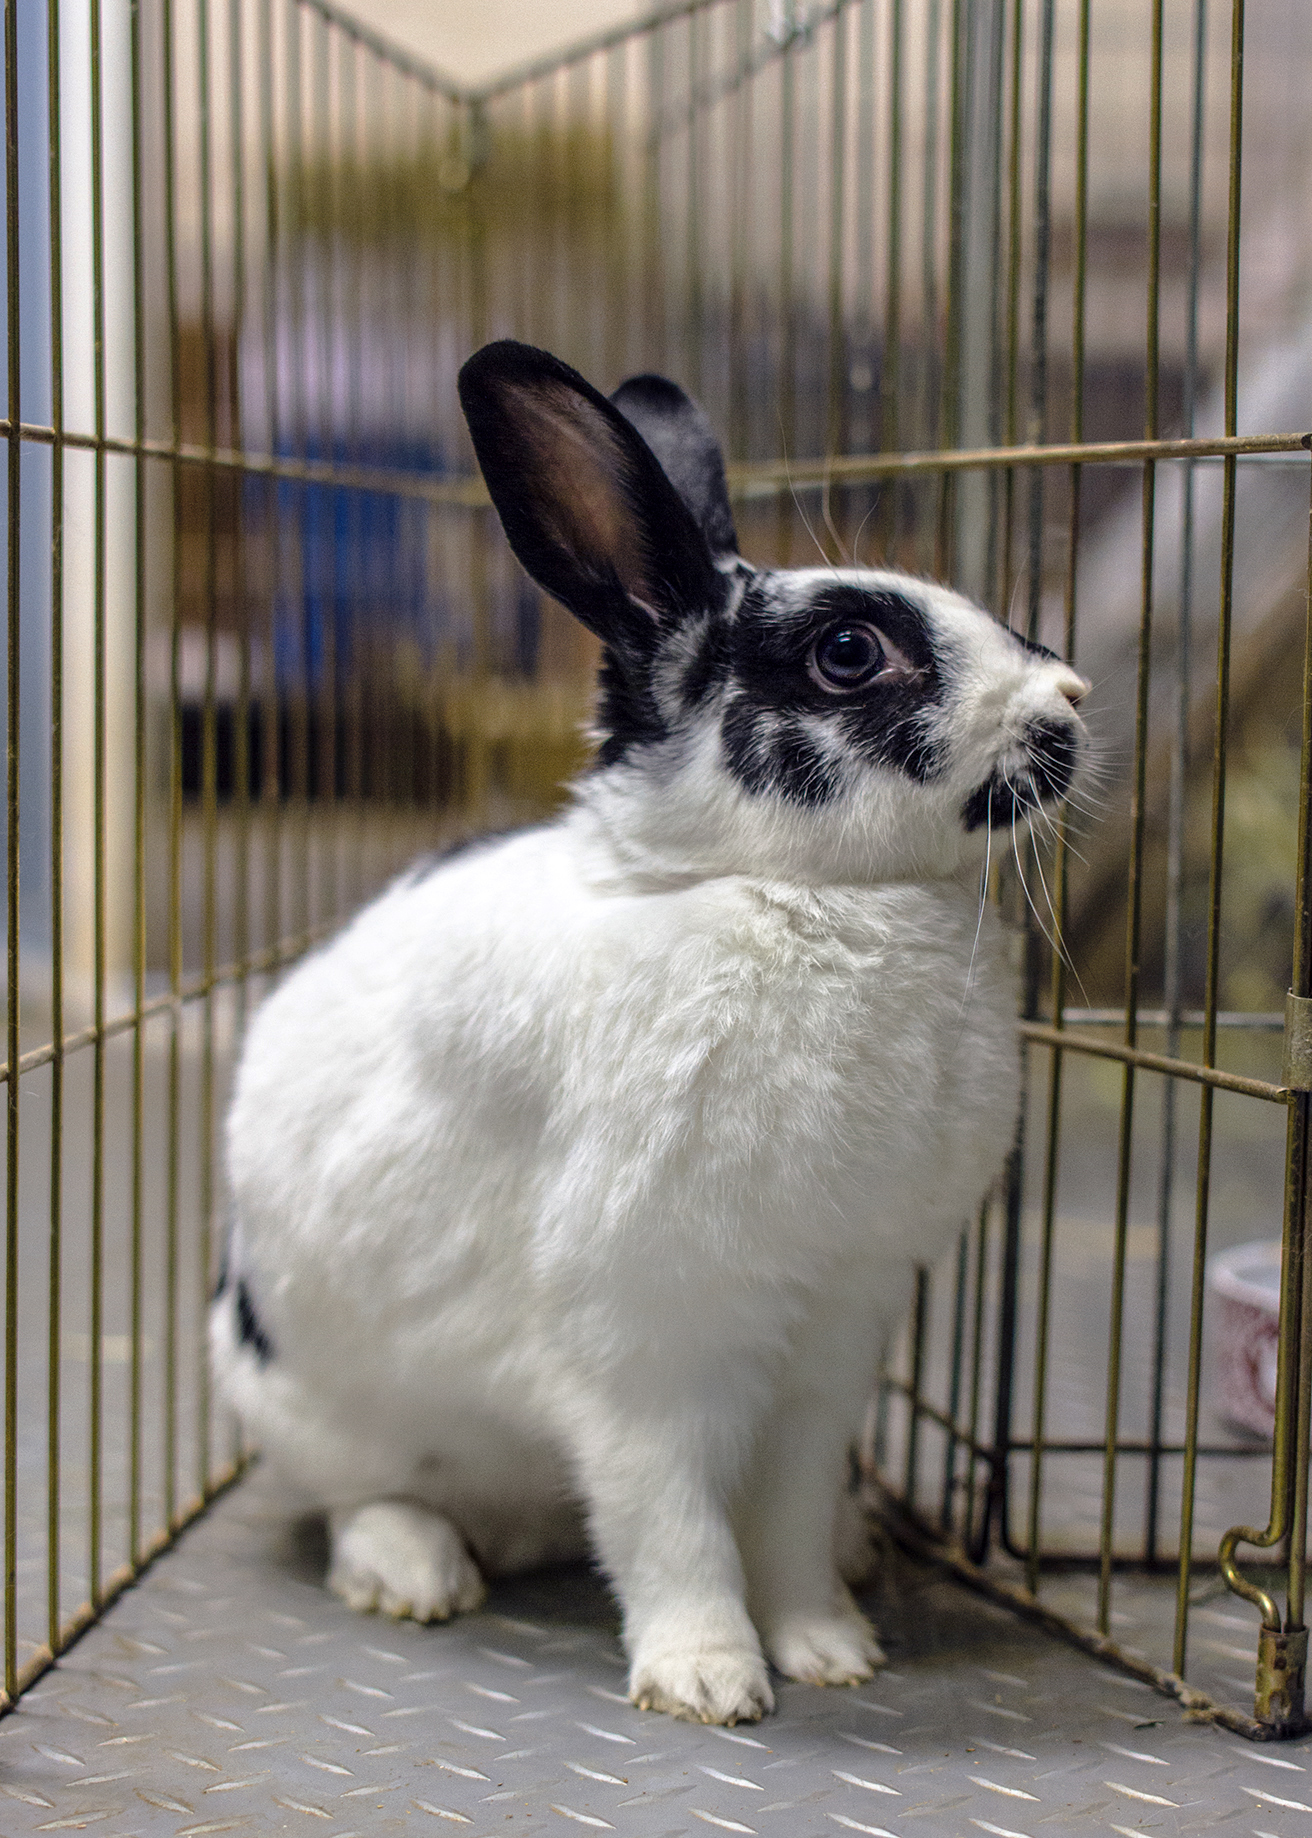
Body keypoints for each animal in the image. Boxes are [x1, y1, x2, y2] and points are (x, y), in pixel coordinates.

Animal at [212, 339, 1089, 1727]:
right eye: (850, 650)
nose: (1074, 698)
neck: (789, 891)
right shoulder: (641, 1337)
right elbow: (668, 1516)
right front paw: (709, 1679)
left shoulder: (833, 1336)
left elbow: (784, 1515)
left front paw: (829, 1646)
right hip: (311, 1403)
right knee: (362, 1495)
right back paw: (414, 1572)